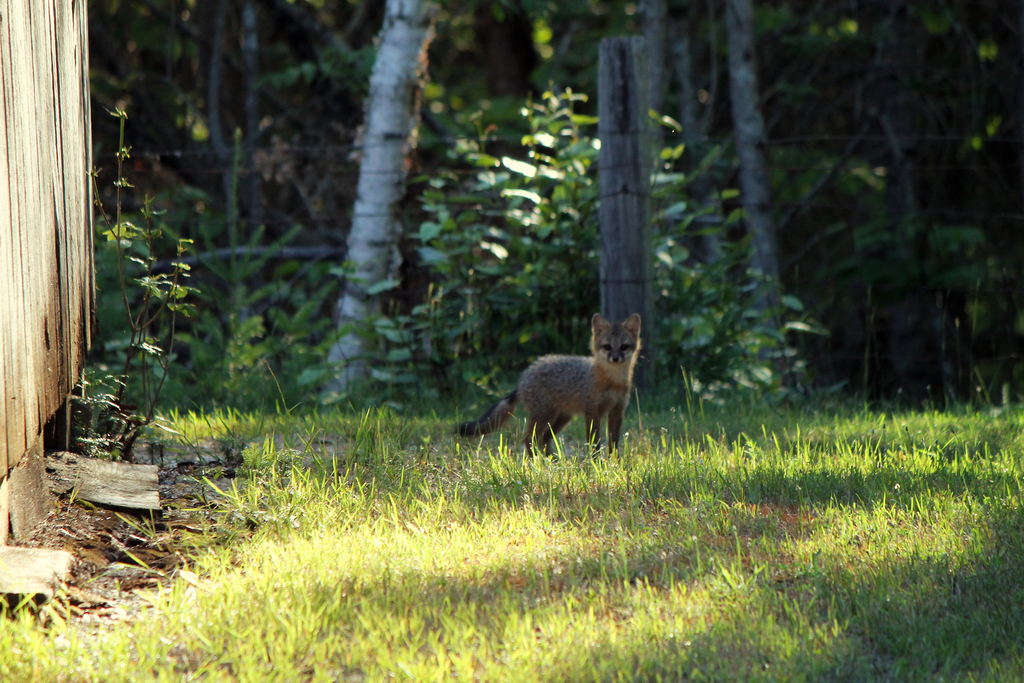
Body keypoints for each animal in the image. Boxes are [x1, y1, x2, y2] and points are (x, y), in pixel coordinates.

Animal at [457, 313, 641, 455]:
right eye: (607, 347)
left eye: (624, 347)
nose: (615, 358)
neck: (613, 382)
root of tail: (527, 373)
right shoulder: (593, 412)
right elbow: (594, 443)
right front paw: (596, 464)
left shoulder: (617, 411)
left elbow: (613, 443)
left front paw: (614, 463)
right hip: (545, 415)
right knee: (528, 438)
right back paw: (534, 462)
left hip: (561, 418)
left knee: (543, 439)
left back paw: (552, 462)